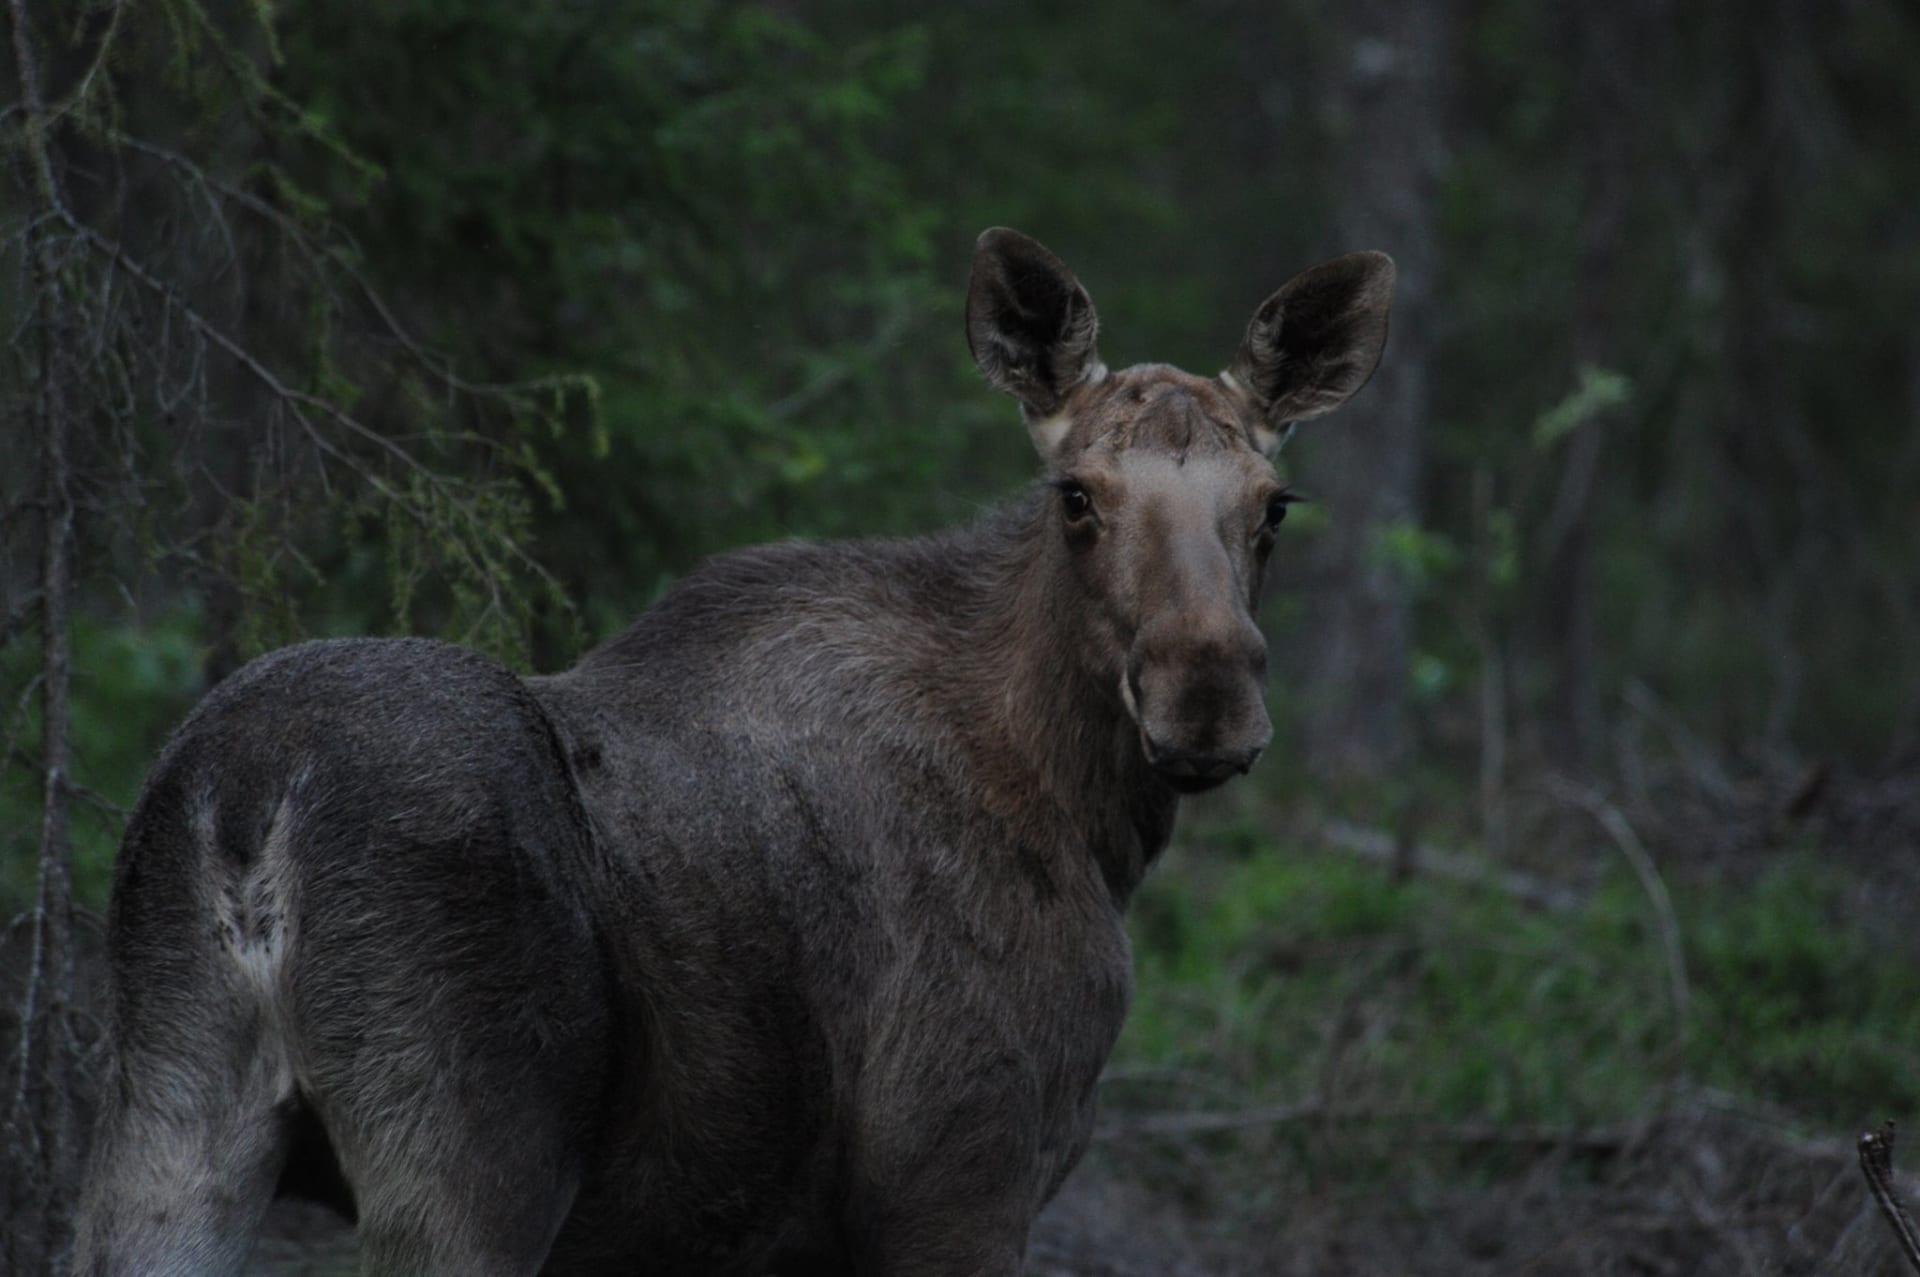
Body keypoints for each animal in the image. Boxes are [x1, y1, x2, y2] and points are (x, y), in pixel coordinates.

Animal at [73, 228, 1394, 1276]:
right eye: (1076, 494)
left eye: (1274, 503)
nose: (1206, 697)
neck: (1087, 816)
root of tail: (255, 809)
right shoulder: (960, 1175)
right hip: (463, 1161)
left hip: (169, 1128)